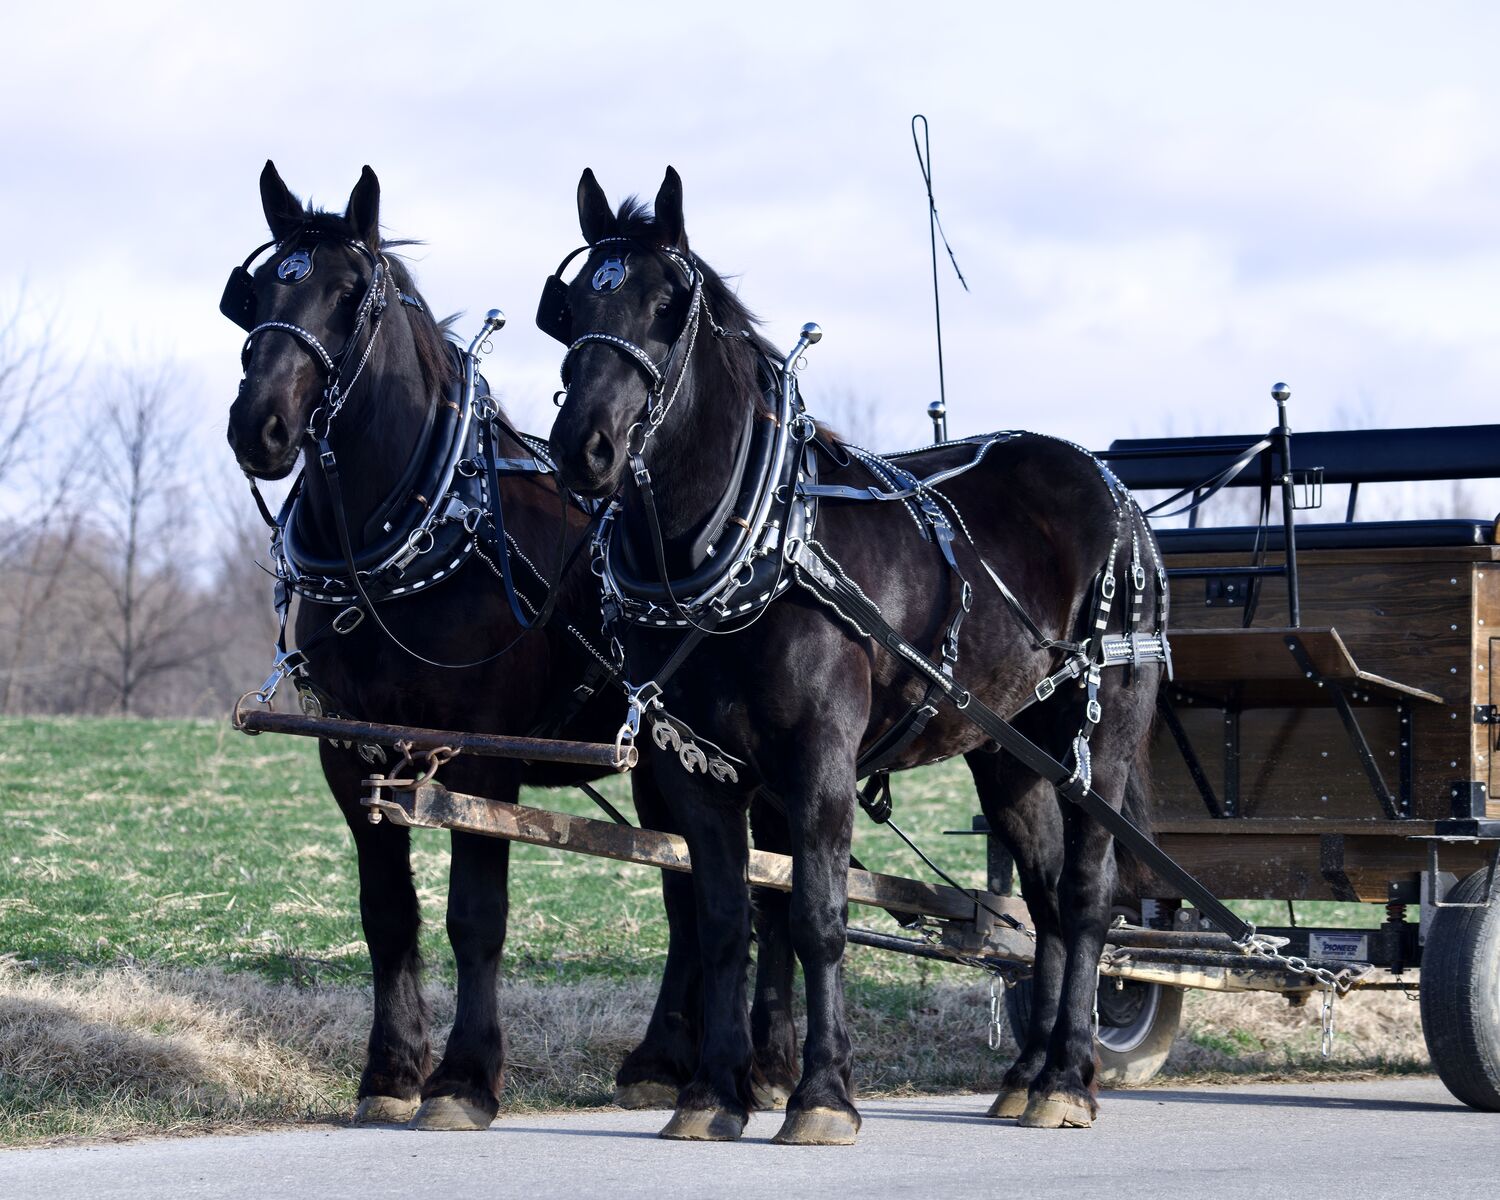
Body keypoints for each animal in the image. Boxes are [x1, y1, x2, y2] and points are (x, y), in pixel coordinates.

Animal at [222, 162, 802, 1130]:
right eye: (258, 291)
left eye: (345, 294)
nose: (258, 426)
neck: (415, 542)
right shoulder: (348, 751)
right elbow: (389, 914)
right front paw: (390, 1074)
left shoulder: (481, 755)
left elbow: (476, 916)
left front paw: (462, 1079)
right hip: (660, 762)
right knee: (692, 891)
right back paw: (664, 1062)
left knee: (769, 886)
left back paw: (770, 1064)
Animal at [545, 167, 1167, 1144]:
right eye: (569, 308)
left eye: (667, 306)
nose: (585, 448)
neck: (753, 539)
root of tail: (1112, 487)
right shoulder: (698, 769)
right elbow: (723, 920)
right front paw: (712, 1093)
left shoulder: (819, 758)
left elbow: (815, 917)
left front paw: (822, 1094)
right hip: (1009, 752)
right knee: (1044, 901)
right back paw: (1028, 1076)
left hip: (1099, 734)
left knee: (1088, 895)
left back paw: (1070, 1076)